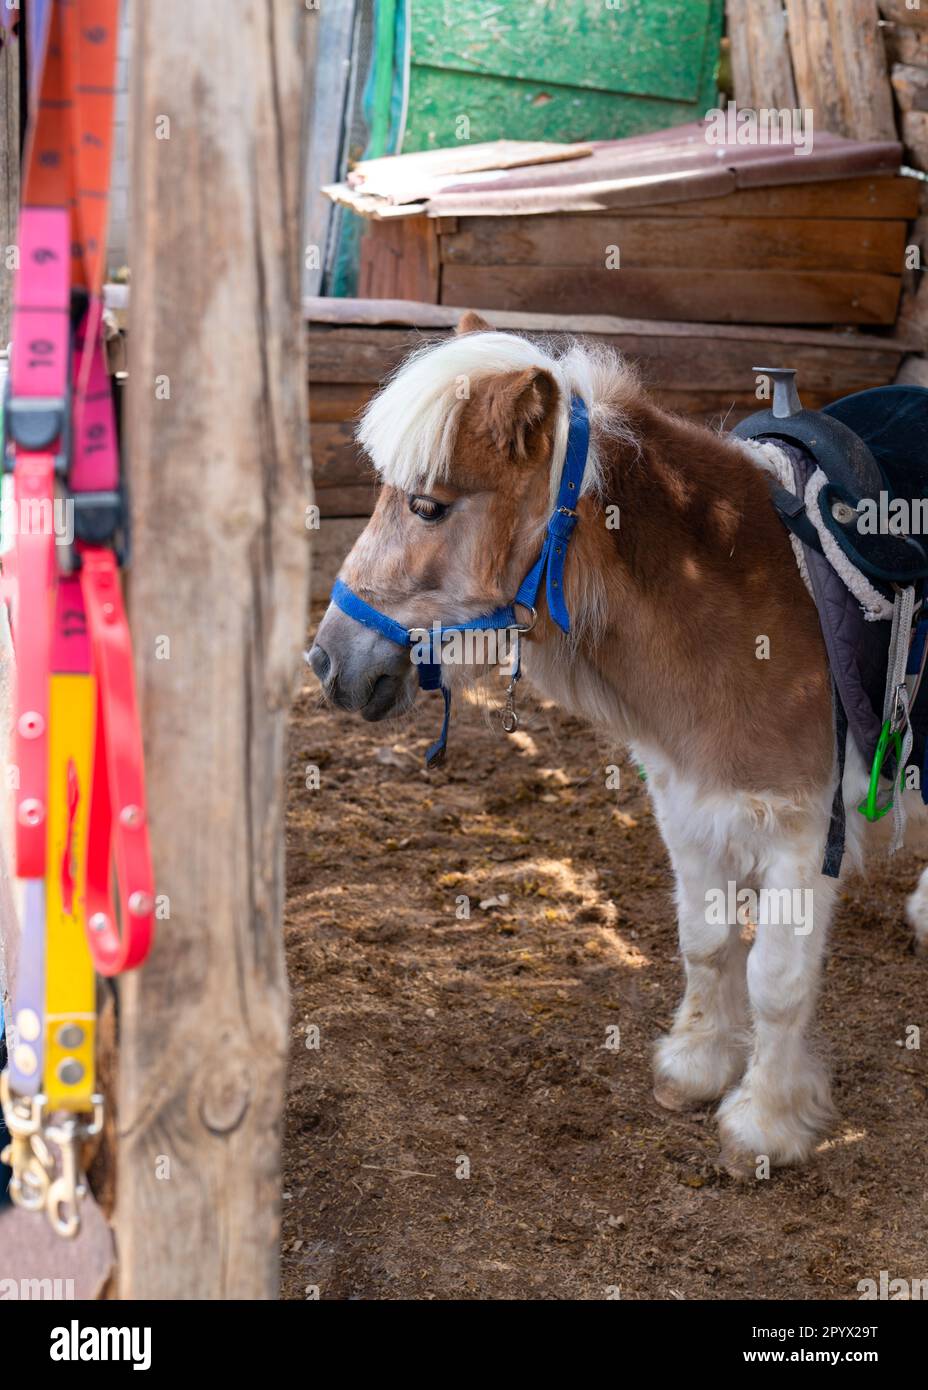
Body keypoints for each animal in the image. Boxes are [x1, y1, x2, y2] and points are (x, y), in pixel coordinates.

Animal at [308, 310, 928, 1176]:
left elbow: (775, 982)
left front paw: (764, 1123)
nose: (327, 662)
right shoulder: (688, 807)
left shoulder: (803, 834)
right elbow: (706, 943)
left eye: (428, 507)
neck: (752, 607)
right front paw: (695, 1069)